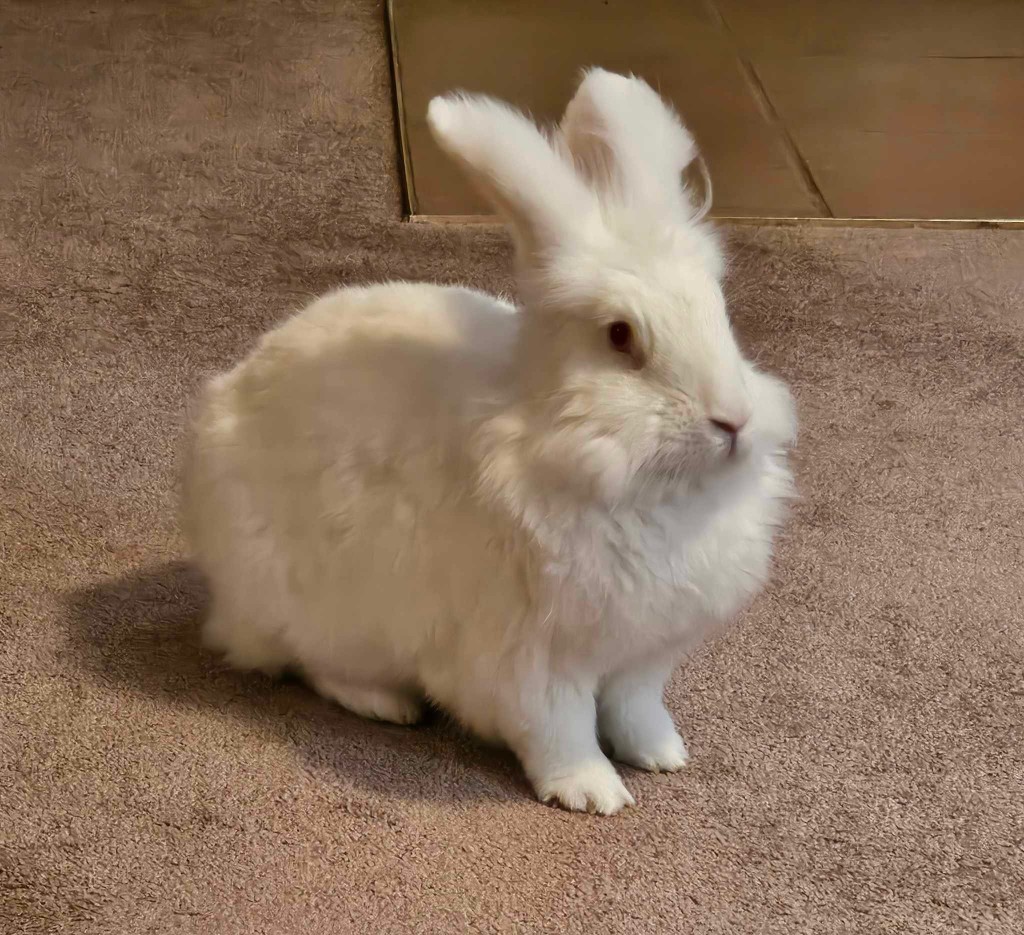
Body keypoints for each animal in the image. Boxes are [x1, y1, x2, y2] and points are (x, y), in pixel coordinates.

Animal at [181, 68, 797, 815]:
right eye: (621, 336)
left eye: (721, 311)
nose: (733, 420)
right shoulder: (530, 658)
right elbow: (561, 728)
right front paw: (594, 793)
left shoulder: (642, 656)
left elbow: (635, 709)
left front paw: (663, 755)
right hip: (322, 605)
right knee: (313, 661)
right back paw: (386, 704)